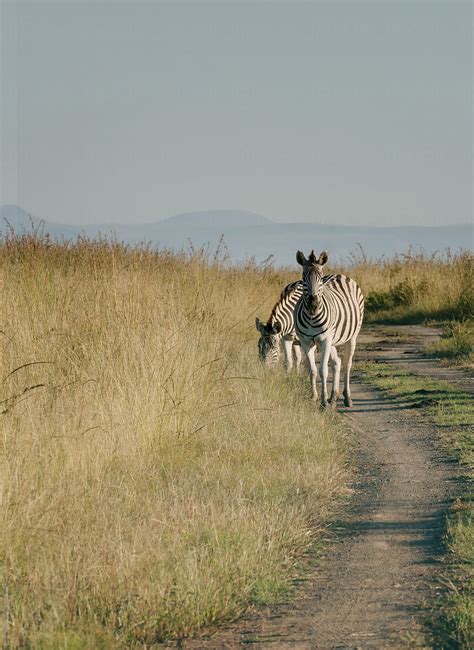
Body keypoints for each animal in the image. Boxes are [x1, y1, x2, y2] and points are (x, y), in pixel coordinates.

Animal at [294, 250, 364, 408]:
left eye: (320, 278)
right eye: (303, 277)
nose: (313, 304)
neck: (312, 317)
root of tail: (340, 275)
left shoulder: (325, 340)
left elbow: (323, 370)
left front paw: (323, 401)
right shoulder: (306, 341)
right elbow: (313, 370)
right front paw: (314, 397)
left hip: (352, 336)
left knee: (347, 364)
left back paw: (347, 398)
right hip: (332, 339)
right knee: (337, 363)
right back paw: (334, 397)